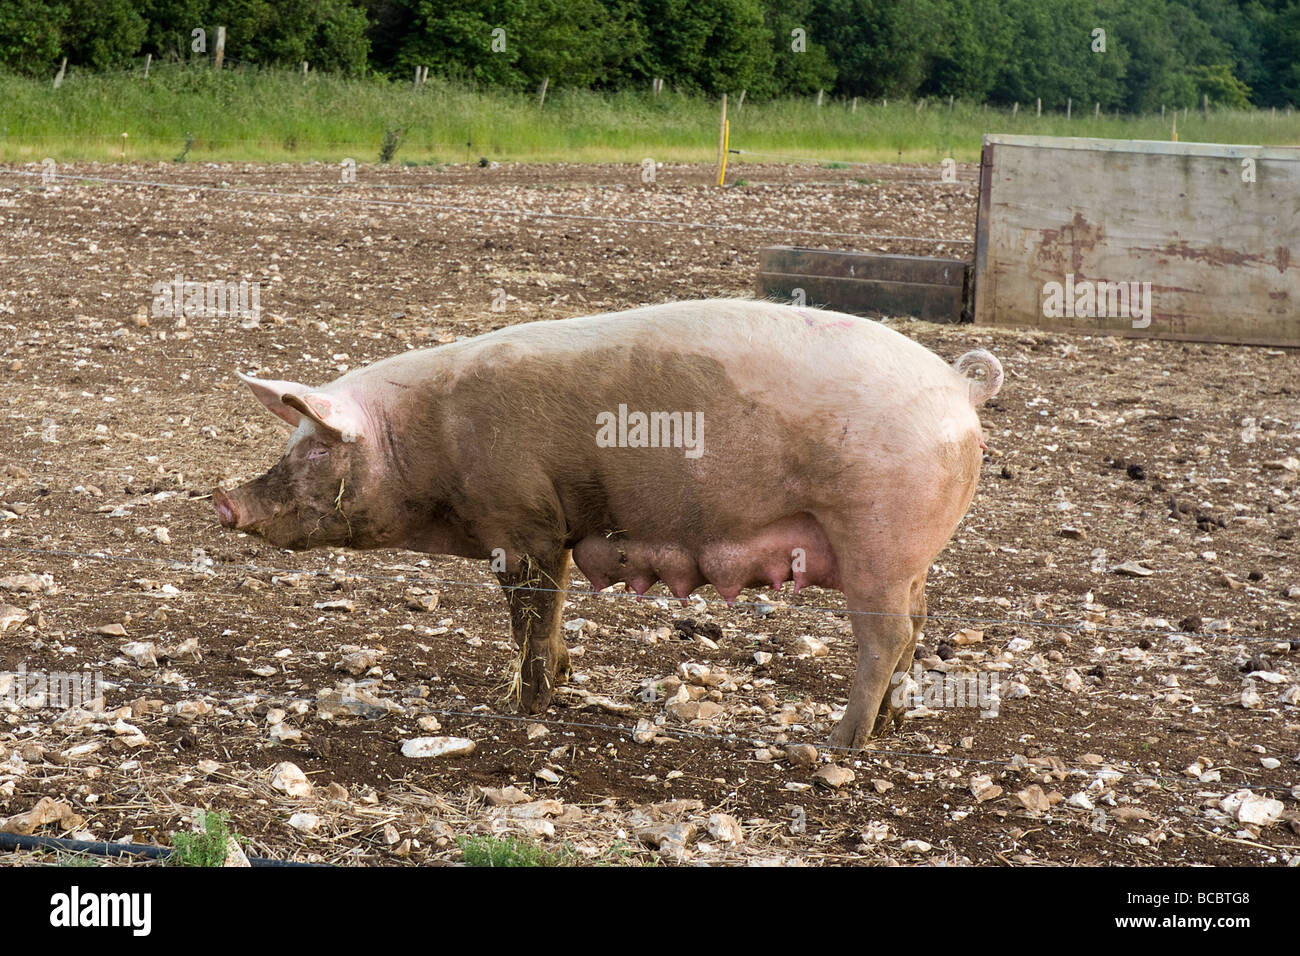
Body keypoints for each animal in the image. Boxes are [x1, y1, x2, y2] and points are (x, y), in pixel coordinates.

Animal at [213, 298, 1003, 748]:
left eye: (317, 446)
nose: (225, 501)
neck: (425, 437)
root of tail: (957, 388)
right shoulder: (554, 529)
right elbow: (558, 609)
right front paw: (562, 682)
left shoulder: (521, 523)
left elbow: (531, 613)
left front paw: (524, 706)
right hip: (910, 554)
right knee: (919, 622)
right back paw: (890, 728)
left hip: (876, 536)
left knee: (886, 636)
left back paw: (841, 742)